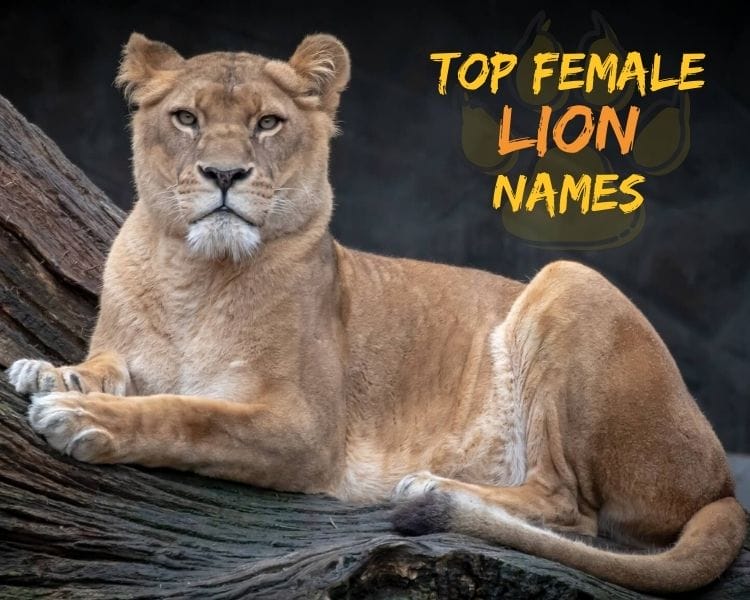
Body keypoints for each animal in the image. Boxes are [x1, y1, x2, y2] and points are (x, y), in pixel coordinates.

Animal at [5, 33, 745, 593]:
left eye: (268, 123)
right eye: (186, 118)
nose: (223, 174)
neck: (194, 273)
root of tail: (722, 483)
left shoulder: (305, 428)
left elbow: (189, 414)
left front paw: (82, 417)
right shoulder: (130, 347)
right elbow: (110, 365)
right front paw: (50, 373)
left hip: (570, 282)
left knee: (572, 509)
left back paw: (428, 488)